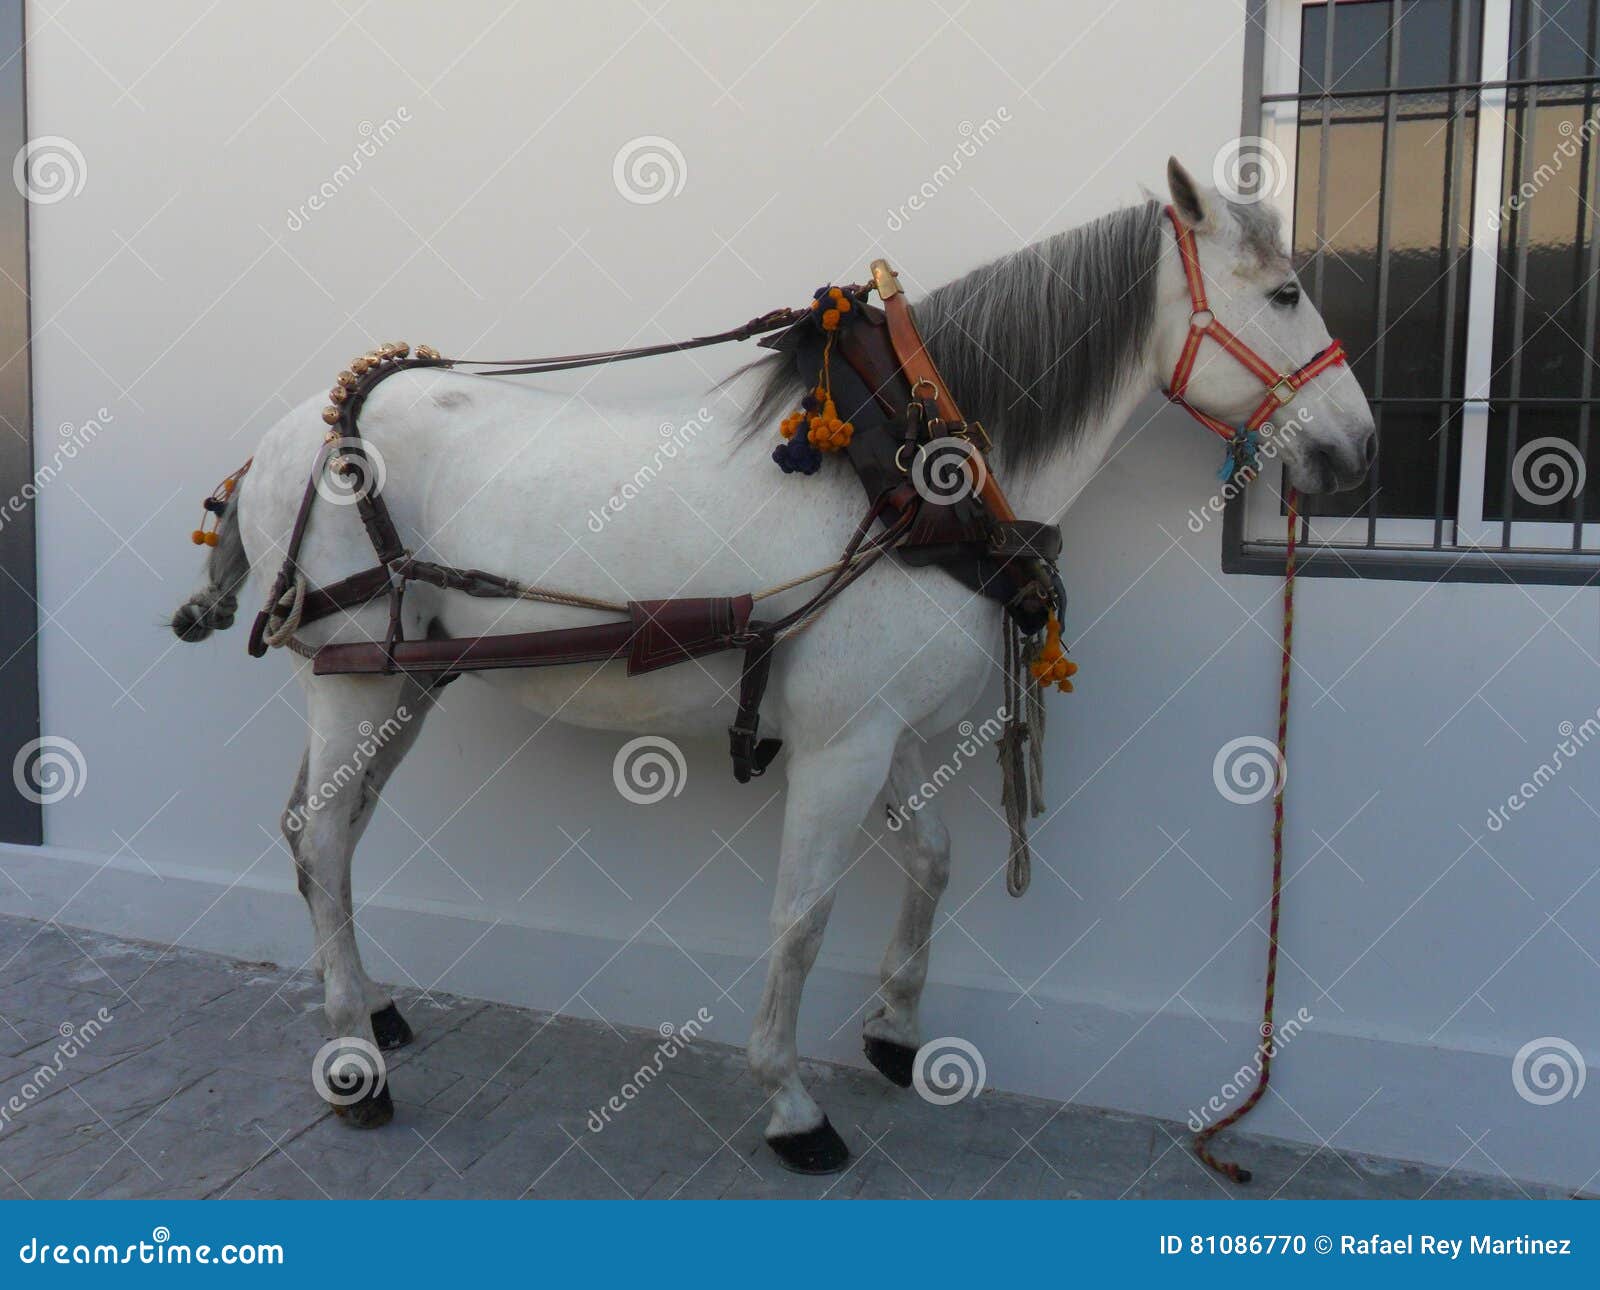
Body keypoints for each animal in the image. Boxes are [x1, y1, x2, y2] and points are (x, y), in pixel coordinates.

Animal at [169, 159, 1375, 1174]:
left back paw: (370, 1007)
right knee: (327, 837)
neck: (907, 479)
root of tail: (288, 440)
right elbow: (801, 920)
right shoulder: (840, 748)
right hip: (358, 681)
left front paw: (895, 1031)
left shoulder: (887, 734)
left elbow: (933, 863)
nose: (1359, 446)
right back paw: (352, 1066)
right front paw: (792, 1104)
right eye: (1283, 295)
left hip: (404, 678)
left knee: (326, 833)